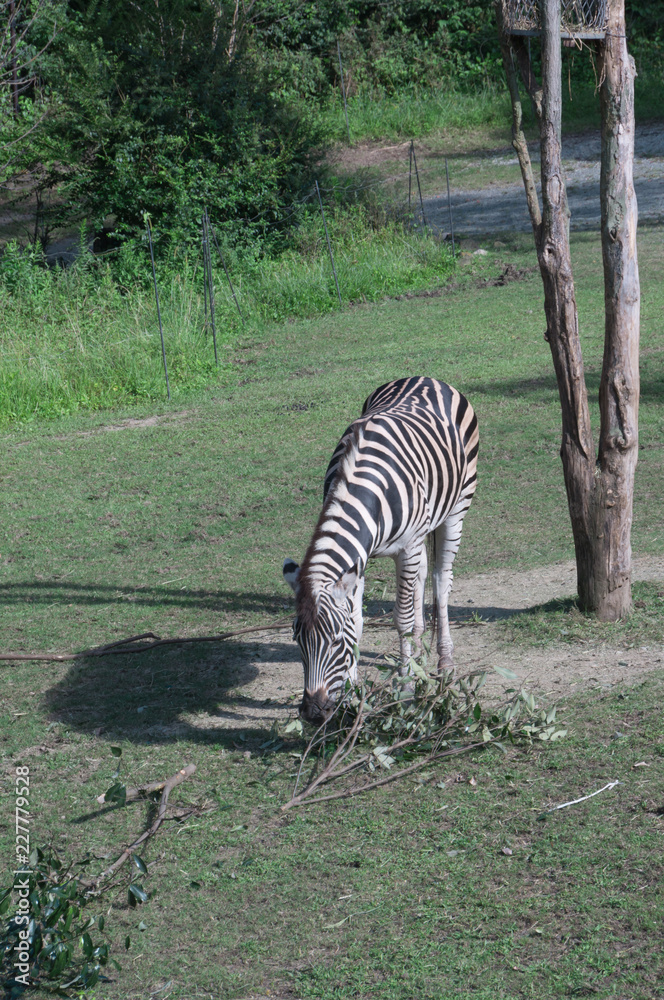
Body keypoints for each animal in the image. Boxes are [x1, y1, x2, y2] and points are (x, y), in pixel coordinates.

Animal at [283, 376, 478, 726]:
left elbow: (401, 618)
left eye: (334, 641)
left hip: (457, 509)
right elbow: (358, 620)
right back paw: (419, 650)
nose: (314, 713)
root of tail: (426, 377)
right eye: (297, 640)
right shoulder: (359, 558)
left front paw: (404, 686)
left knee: (441, 581)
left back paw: (444, 662)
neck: (361, 489)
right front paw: (352, 690)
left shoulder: (406, 548)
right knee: (423, 577)